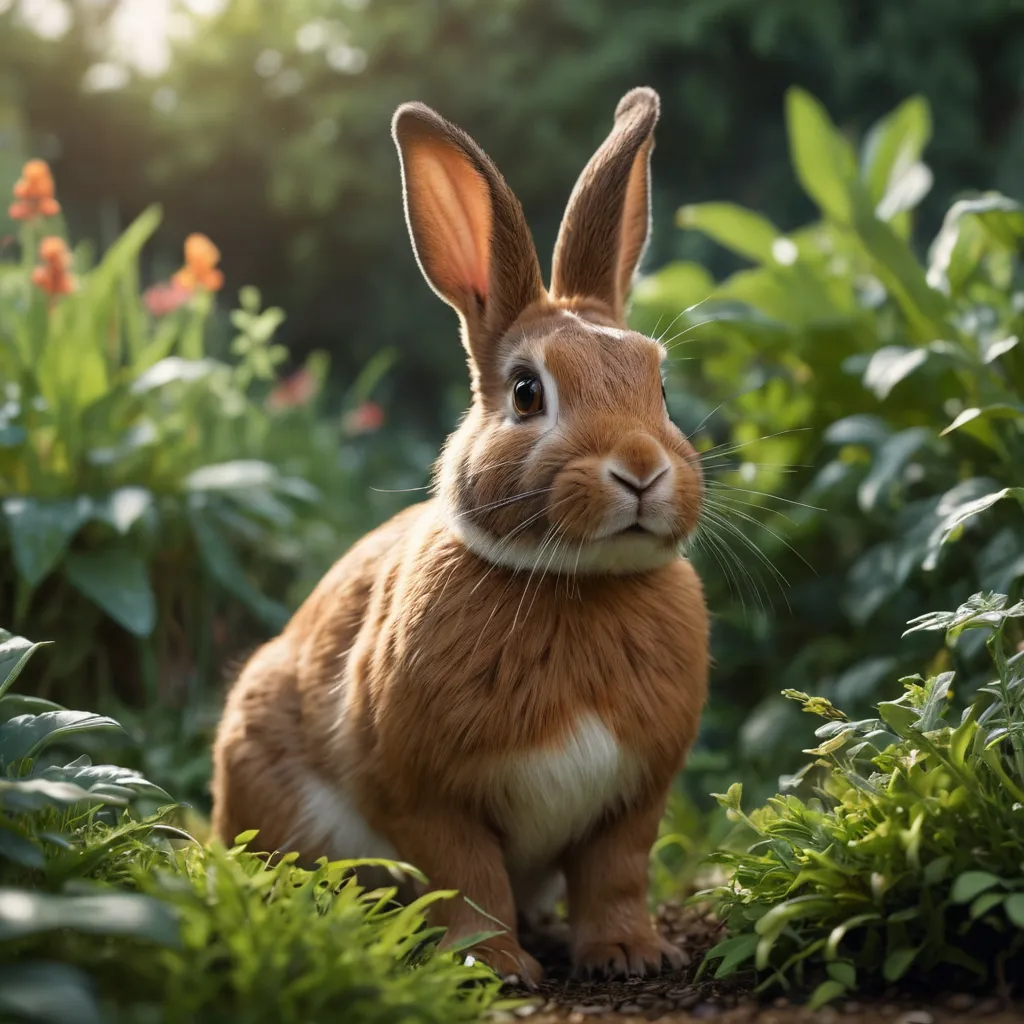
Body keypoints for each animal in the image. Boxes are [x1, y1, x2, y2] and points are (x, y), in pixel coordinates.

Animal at [211, 85, 708, 988]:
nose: (641, 470)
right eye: (526, 392)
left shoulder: (632, 799)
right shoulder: (425, 793)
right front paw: (492, 970)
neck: (574, 581)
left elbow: (616, 874)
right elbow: (466, 879)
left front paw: (629, 956)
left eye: (659, 386)